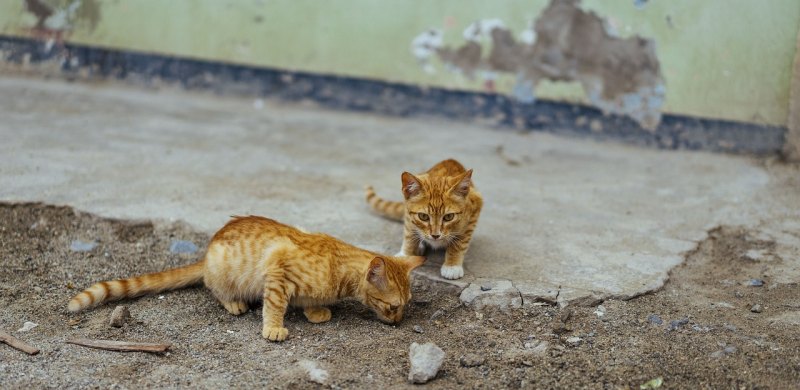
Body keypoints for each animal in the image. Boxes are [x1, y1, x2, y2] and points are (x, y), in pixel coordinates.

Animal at [67, 216, 424, 342]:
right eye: (393, 307)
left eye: (405, 306)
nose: (399, 323)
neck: (337, 265)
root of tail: (207, 252)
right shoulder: (278, 272)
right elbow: (275, 305)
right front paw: (274, 328)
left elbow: (309, 301)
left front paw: (315, 311)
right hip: (223, 273)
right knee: (214, 289)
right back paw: (234, 303)